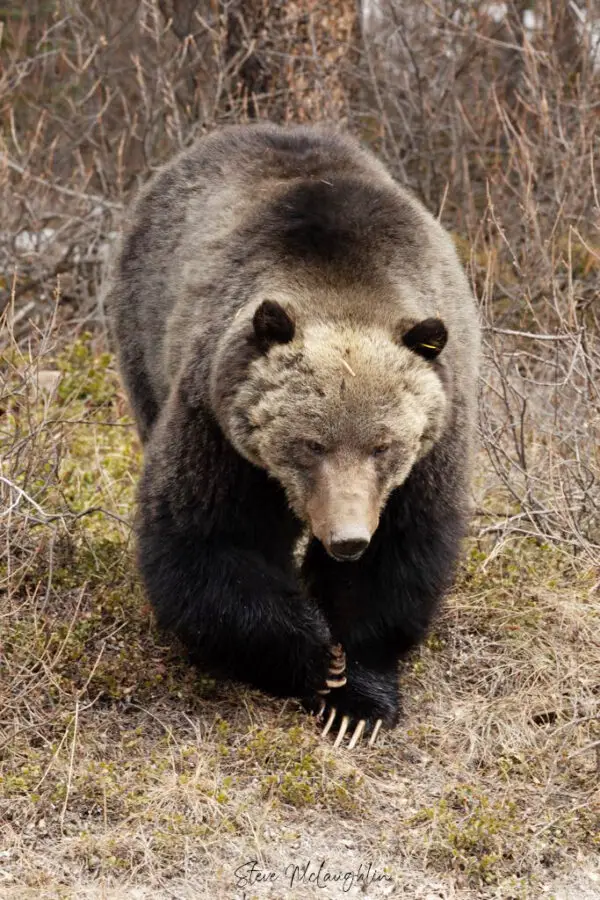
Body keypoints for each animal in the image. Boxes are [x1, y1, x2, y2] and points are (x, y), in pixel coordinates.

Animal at [106, 123, 481, 748]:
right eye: (311, 443)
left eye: (383, 446)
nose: (347, 539)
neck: (345, 288)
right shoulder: (220, 425)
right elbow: (210, 539)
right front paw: (314, 658)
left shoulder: (433, 442)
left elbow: (399, 554)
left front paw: (355, 702)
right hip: (143, 327)